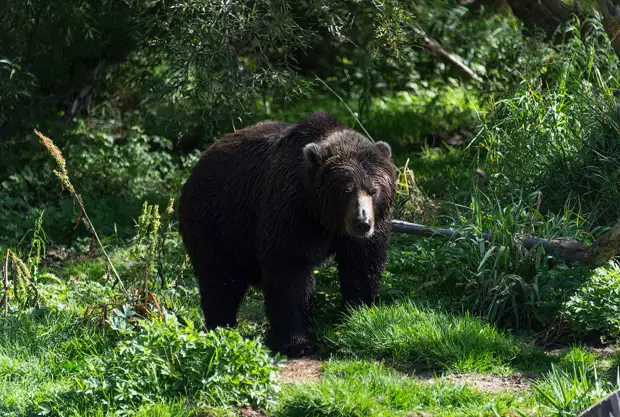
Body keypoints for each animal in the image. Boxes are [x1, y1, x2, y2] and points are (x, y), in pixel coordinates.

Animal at [177, 112, 398, 356]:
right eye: (345, 190)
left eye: (373, 190)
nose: (362, 223)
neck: (323, 217)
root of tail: (199, 163)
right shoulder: (291, 213)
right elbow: (289, 273)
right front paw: (296, 342)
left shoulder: (361, 234)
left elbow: (362, 265)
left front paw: (358, 313)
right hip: (218, 222)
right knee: (220, 279)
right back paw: (221, 327)